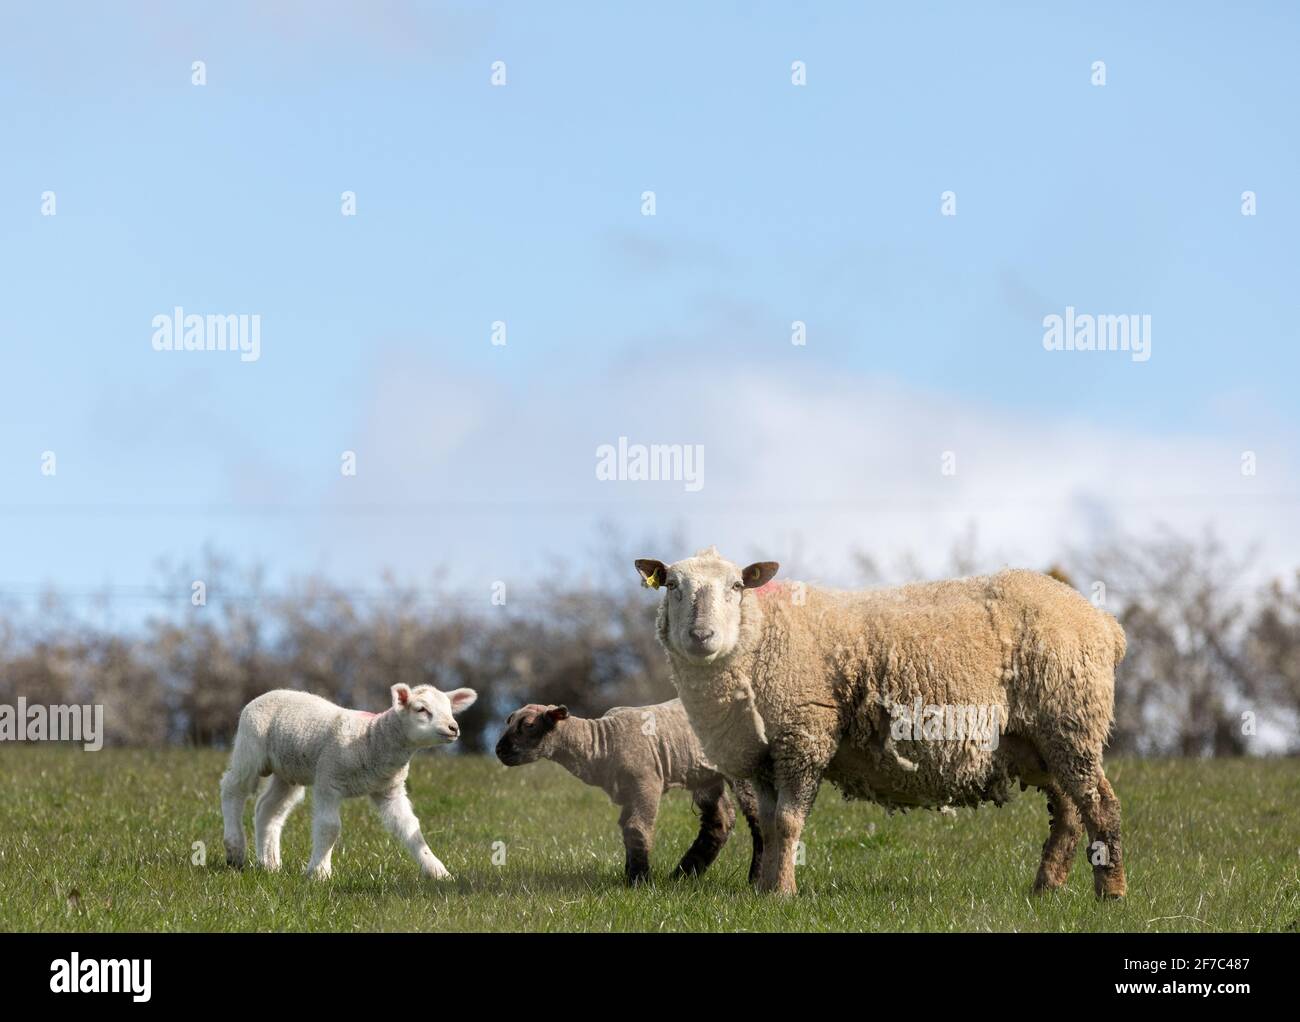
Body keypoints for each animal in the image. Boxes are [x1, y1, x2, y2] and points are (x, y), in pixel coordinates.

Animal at [220, 683, 477, 880]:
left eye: (450, 709)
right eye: (421, 709)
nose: (453, 728)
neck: (372, 738)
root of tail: (266, 694)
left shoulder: (389, 790)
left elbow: (410, 827)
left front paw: (437, 871)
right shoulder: (328, 780)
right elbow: (330, 827)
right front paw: (319, 873)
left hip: (288, 771)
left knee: (268, 809)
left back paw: (269, 864)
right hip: (250, 748)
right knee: (232, 788)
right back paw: (235, 849)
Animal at [495, 698, 763, 885]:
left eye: (529, 725)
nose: (498, 750)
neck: (601, 742)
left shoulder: (647, 783)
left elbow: (637, 828)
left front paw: (639, 882)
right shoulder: (626, 792)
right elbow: (626, 828)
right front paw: (630, 876)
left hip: (742, 769)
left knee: (759, 818)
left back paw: (756, 879)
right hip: (705, 774)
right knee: (721, 820)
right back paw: (683, 876)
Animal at [633, 547, 1128, 898]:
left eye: (737, 585)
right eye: (671, 585)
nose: (701, 636)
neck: (762, 637)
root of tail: (1104, 623)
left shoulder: (805, 733)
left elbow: (789, 822)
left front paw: (782, 893)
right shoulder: (761, 754)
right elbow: (770, 824)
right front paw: (765, 888)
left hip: (1070, 720)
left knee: (1100, 804)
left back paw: (1111, 891)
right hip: (1037, 742)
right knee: (1068, 811)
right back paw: (1047, 886)